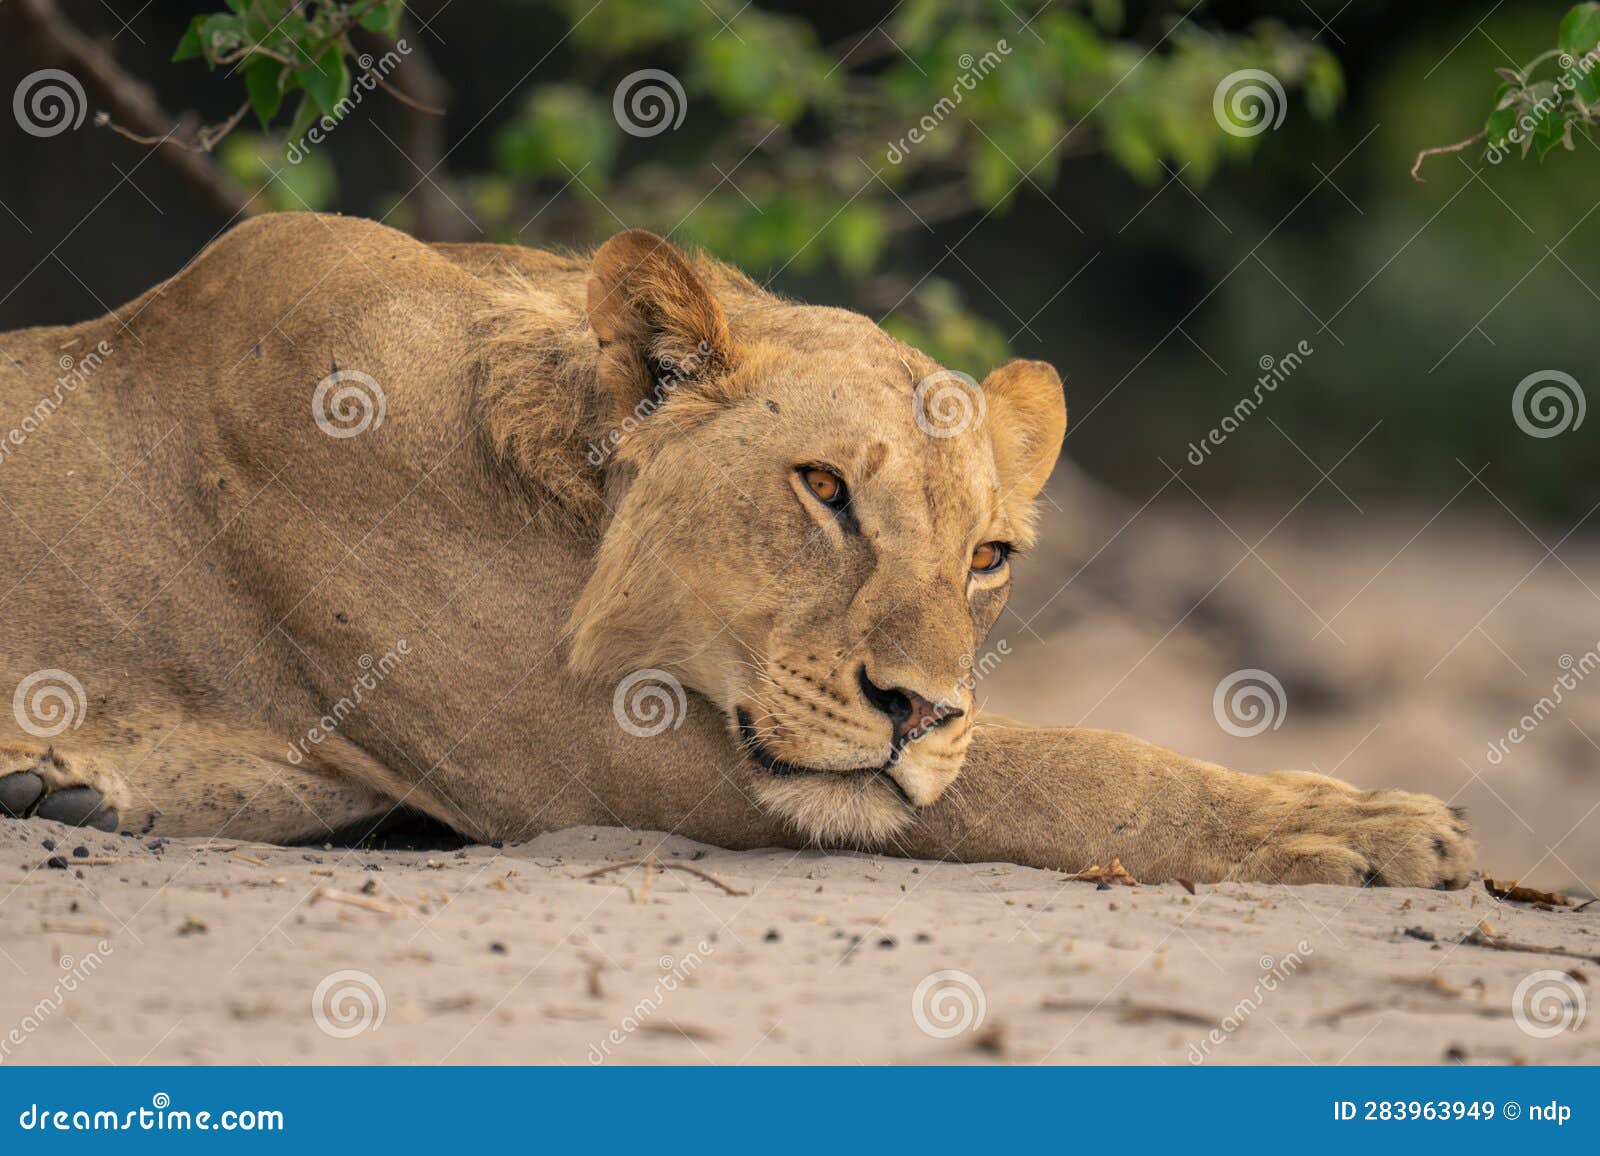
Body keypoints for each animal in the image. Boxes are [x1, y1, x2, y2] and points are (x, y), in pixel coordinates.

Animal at [0, 213, 1471, 887]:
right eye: (820, 488)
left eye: (988, 555)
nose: (918, 707)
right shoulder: (600, 757)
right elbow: (1065, 772)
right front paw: (1360, 822)